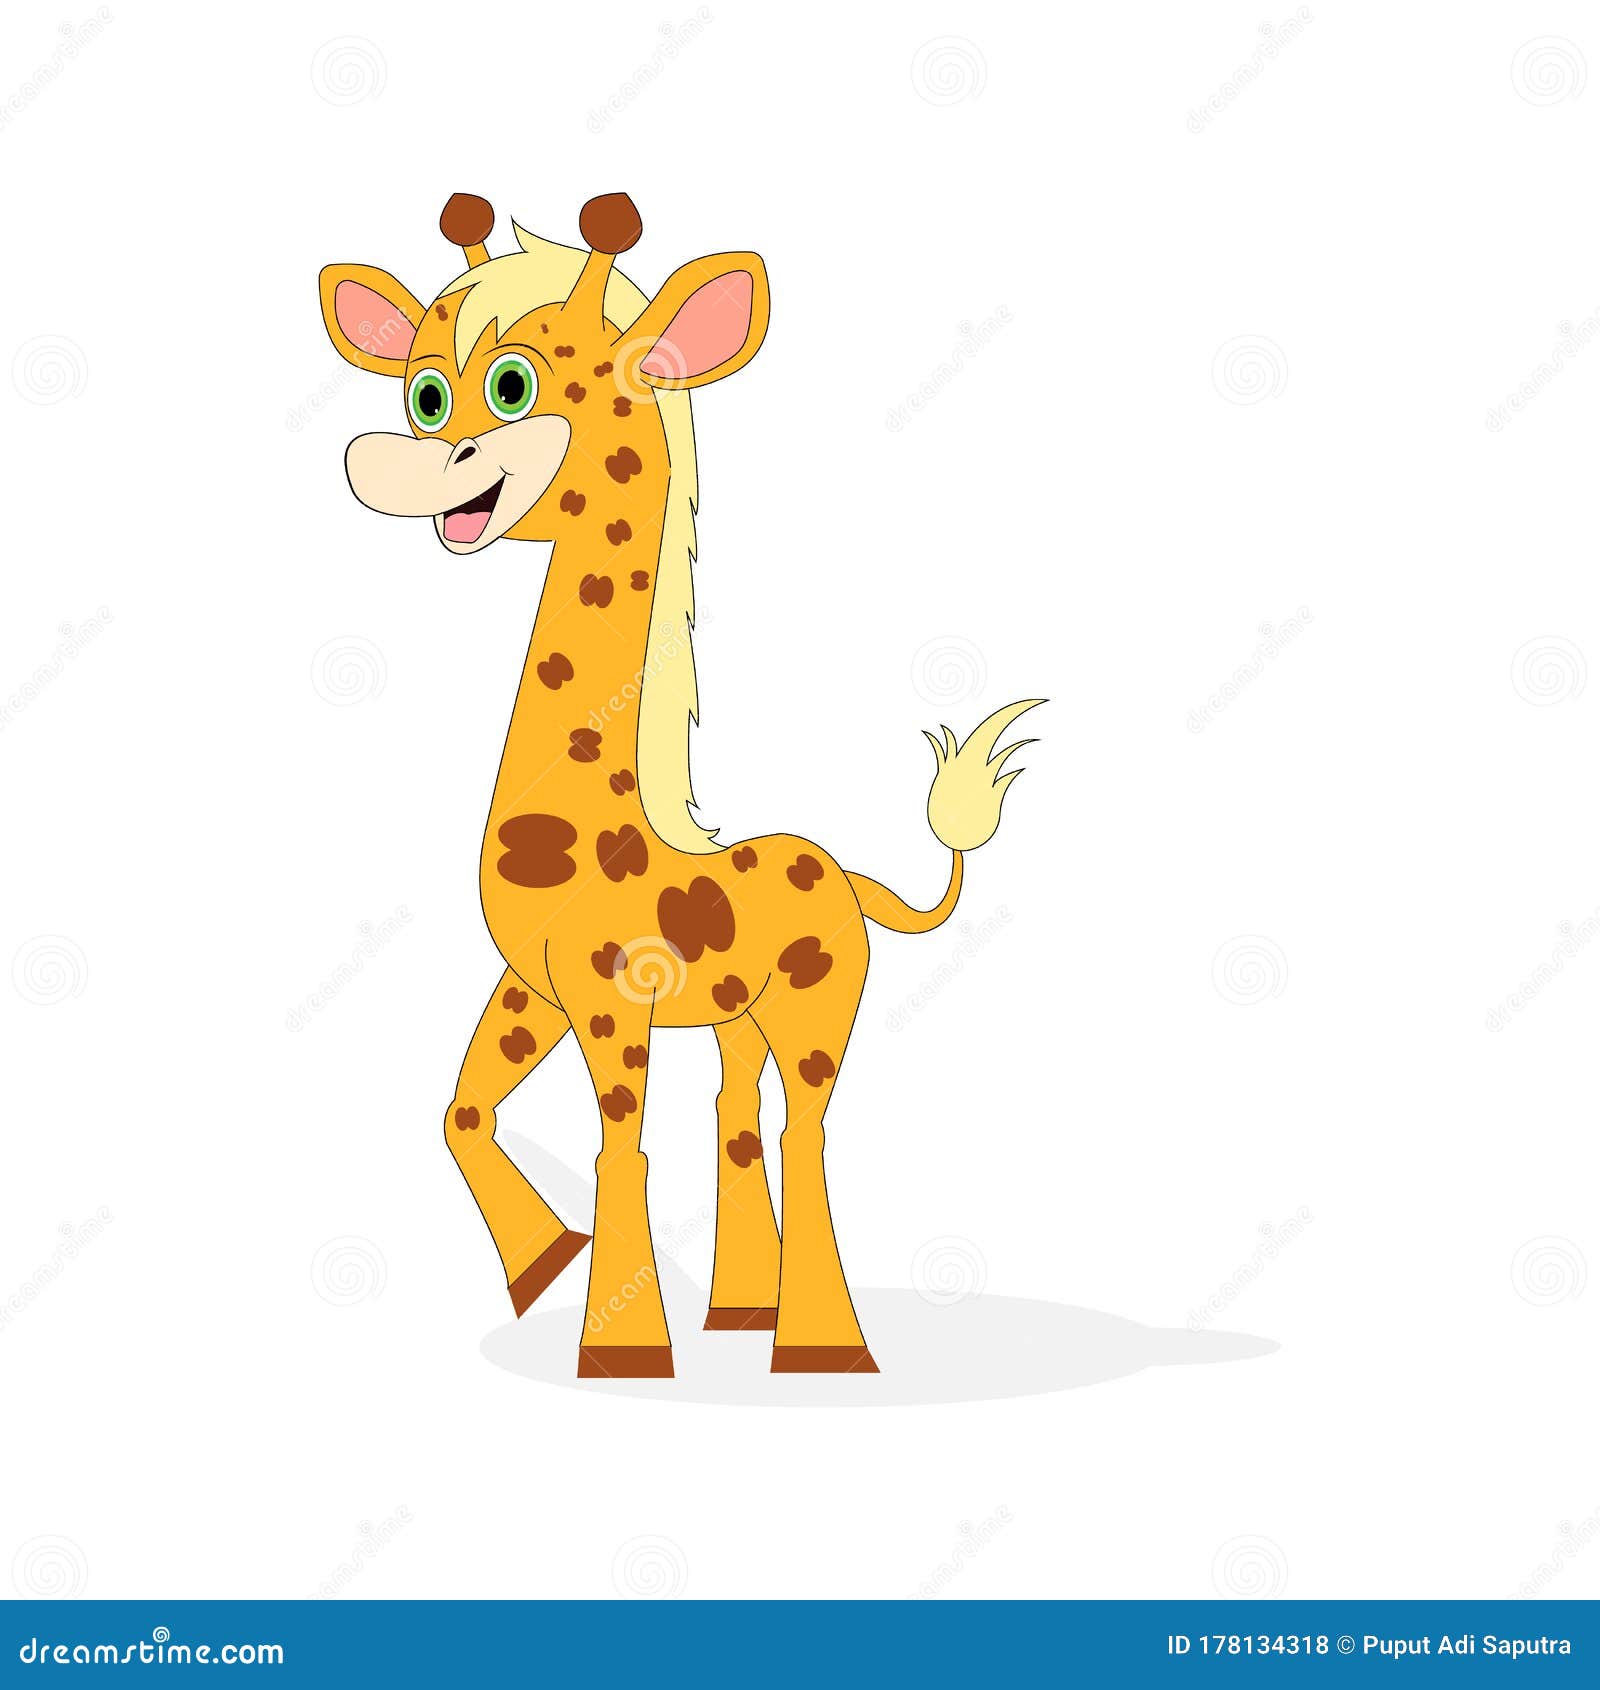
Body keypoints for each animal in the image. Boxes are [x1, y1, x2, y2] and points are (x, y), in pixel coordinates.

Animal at [317, 192, 1039, 1378]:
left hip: (815, 1009)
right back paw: (744, 1312)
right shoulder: (534, 985)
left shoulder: (614, 1000)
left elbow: (621, 1139)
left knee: (804, 1129)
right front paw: (544, 1267)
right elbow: (464, 1109)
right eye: (425, 396)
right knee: (736, 1115)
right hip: (737, 1020)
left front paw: (620, 1349)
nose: (396, 461)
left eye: (511, 385)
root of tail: (848, 874)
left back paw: (820, 1347)